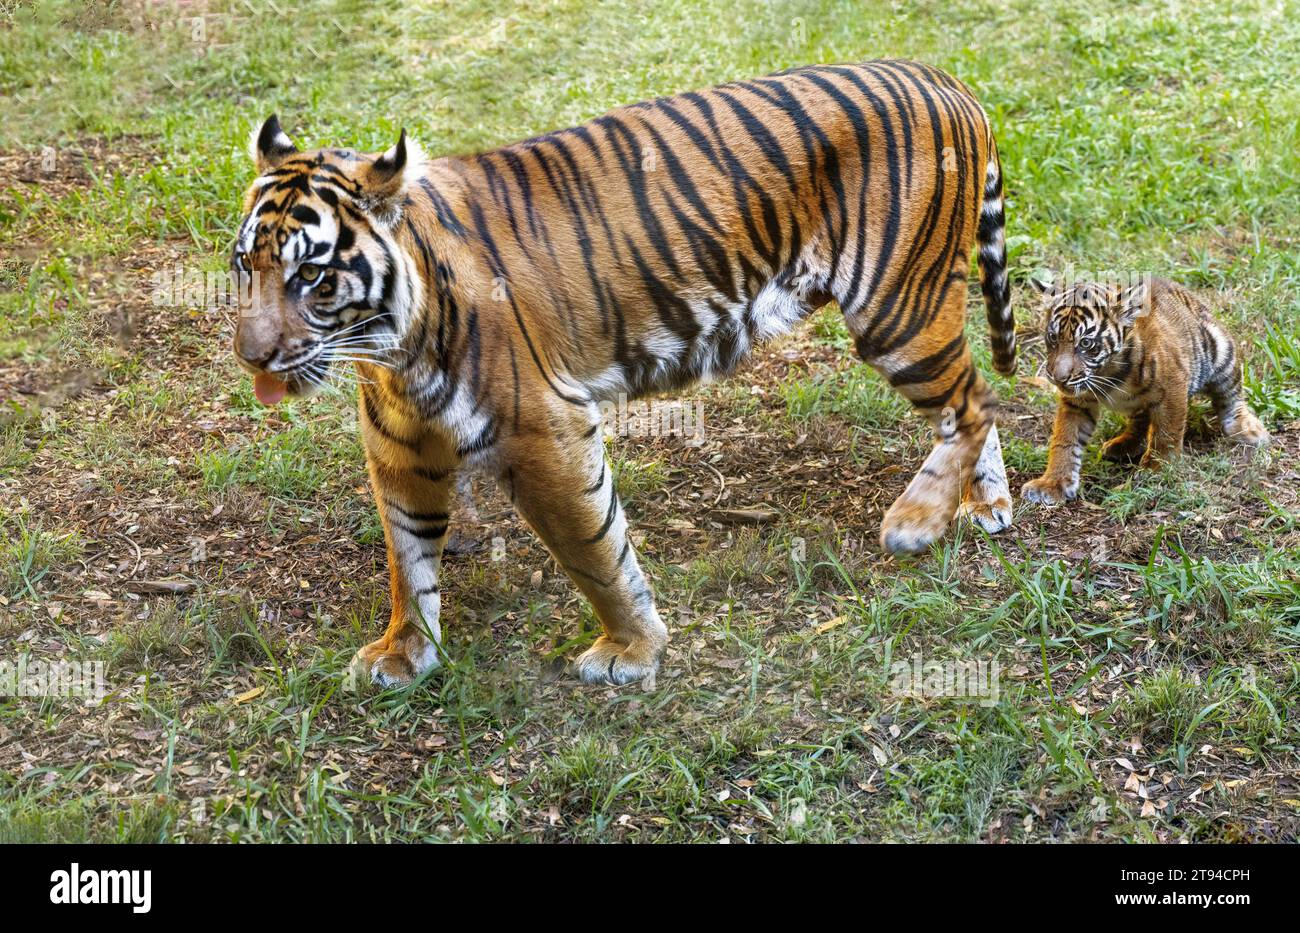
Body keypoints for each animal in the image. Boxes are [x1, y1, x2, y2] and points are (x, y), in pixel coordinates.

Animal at [230, 60, 1018, 688]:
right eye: (246, 265)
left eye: (311, 275)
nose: (251, 356)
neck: (388, 350)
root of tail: (944, 78)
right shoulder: (399, 445)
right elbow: (407, 555)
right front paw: (404, 651)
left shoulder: (545, 430)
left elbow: (594, 549)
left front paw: (632, 651)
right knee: (972, 398)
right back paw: (983, 507)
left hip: (897, 307)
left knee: (976, 400)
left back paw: (918, 520)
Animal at [1022, 275, 1270, 505]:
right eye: (1053, 337)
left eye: (1085, 343)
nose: (1058, 378)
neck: (1106, 372)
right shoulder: (1077, 401)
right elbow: (1065, 440)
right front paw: (1052, 483)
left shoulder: (1172, 386)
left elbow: (1166, 433)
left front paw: (1157, 470)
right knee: (1141, 420)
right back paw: (1125, 444)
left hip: (1221, 352)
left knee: (1230, 396)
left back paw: (1247, 428)